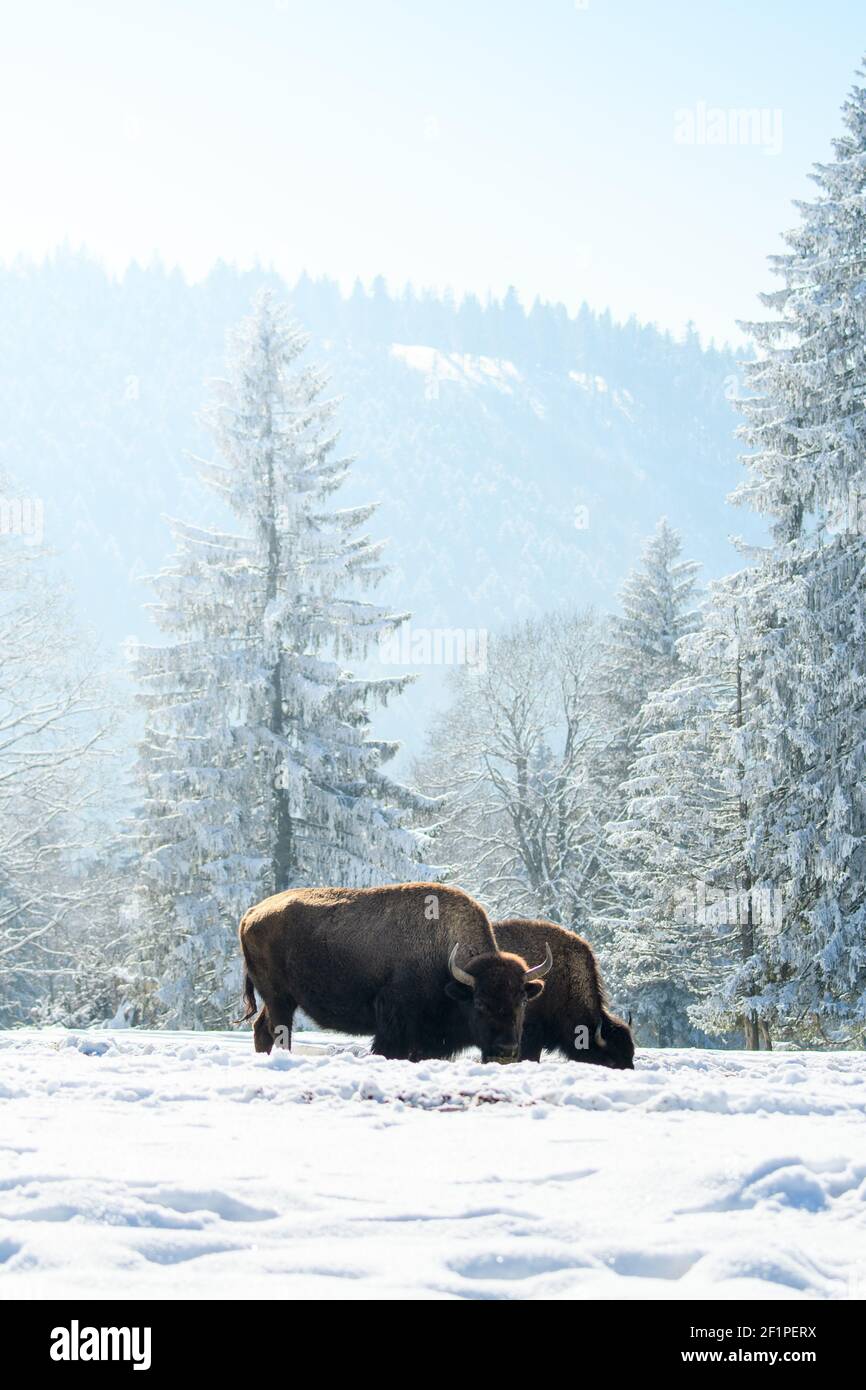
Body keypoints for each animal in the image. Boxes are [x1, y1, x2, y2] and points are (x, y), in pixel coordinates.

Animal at [240, 883, 552, 1064]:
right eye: (480, 1003)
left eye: (522, 1001)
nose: (507, 1050)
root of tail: (252, 912)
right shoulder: (394, 1027)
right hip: (279, 998)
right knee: (277, 1031)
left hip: (278, 1000)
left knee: (261, 1029)